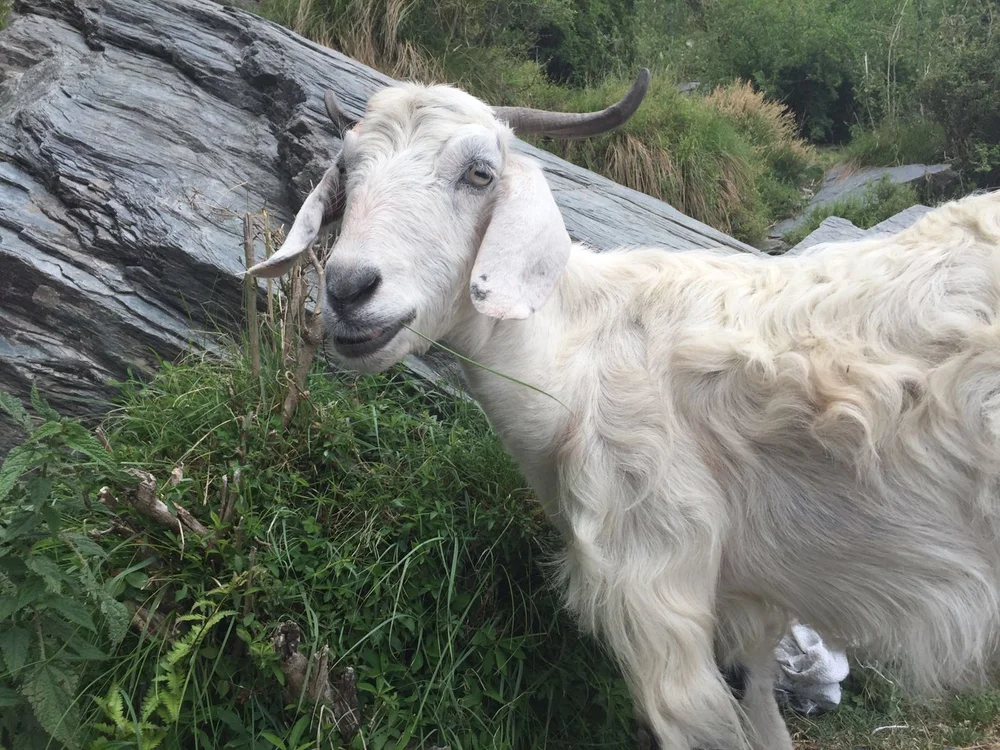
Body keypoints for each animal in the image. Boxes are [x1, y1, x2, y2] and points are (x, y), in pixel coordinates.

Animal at [246, 74, 1000, 749]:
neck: (577, 359)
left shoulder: (653, 574)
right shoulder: (744, 608)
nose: (349, 289)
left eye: (480, 173)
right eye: (348, 175)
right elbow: (762, 713)